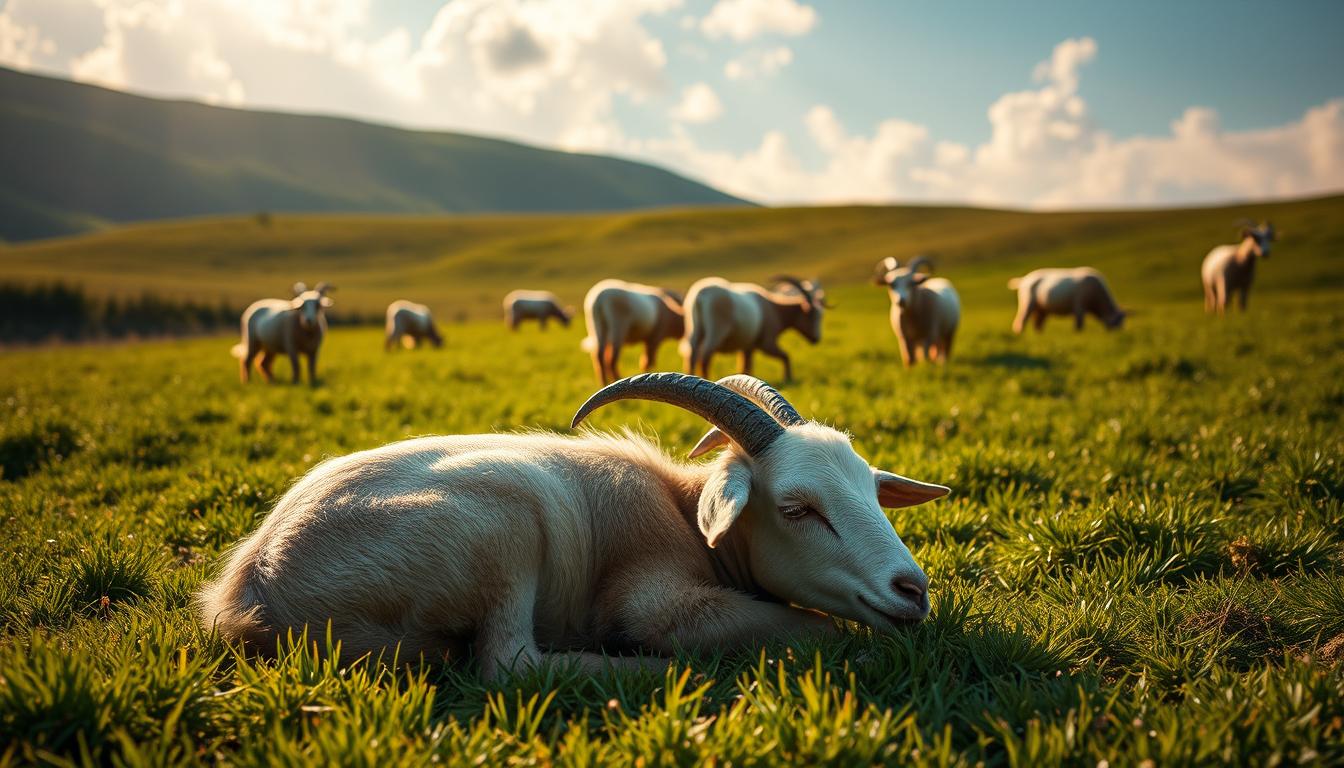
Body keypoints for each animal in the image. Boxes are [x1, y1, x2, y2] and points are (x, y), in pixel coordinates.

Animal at [196, 373, 950, 679]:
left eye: (871, 491)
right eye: (797, 509)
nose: (912, 591)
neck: (682, 512)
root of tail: (250, 588)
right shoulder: (655, 598)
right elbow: (816, 628)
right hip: (500, 527)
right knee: (509, 665)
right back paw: (650, 673)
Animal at [682, 276, 827, 382]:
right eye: (812, 316)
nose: (816, 339)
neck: (774, 309)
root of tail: (701, 295)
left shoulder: (748, 347)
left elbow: (745, 365)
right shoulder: (767, 342)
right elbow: (786, 356)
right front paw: (788, 379)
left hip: (694, 328)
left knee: (692, 352)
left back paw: (690, 375)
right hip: (717, 330)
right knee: (705, 354)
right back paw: (706, 378)